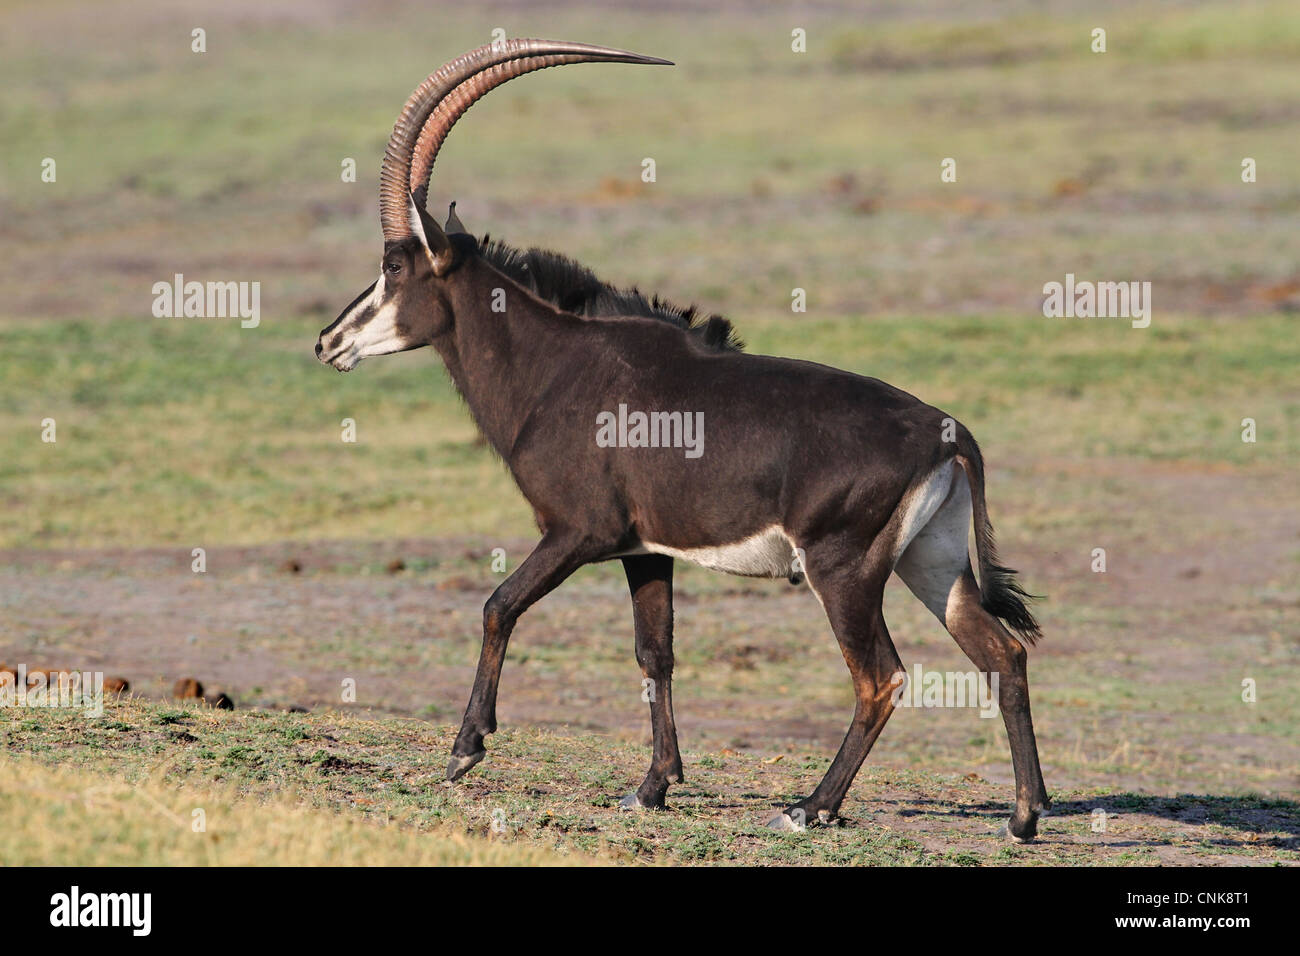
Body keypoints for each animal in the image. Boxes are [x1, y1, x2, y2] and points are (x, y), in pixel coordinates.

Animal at [316, 39, 1051, 839]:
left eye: (393, 265)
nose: (327, 342)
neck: (555, 363)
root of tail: (946, 432)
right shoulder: (645, 549)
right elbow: (655, 653)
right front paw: (652, 786)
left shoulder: (578, 532)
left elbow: (498, 604)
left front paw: (465, 749)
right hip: (930, 560)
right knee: (1002, 654)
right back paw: (1022, 816)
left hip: (842, 568)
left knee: (881, 676)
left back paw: (811, 807)